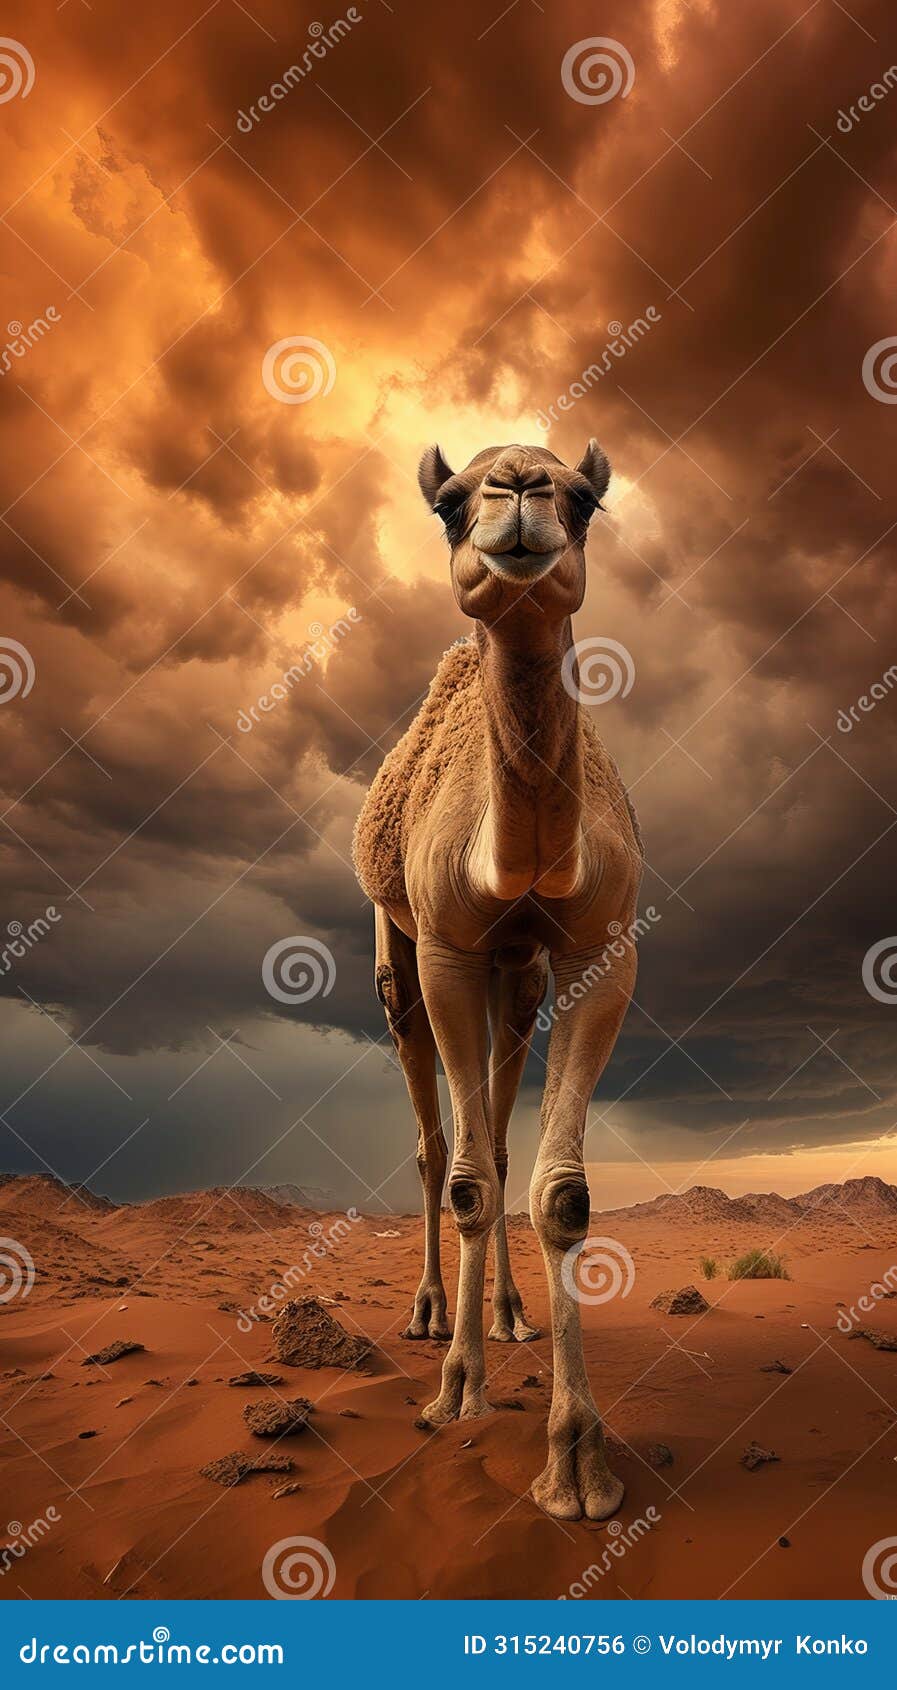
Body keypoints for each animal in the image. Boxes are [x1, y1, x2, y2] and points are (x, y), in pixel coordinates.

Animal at [352, 440, 642, 1520]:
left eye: (587, 498)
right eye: (445, 504)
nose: (518, 484)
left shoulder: (603, 947)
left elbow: (561, 1193)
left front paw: (578, 1462)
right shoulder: (445, 943)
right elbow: (469, 1178)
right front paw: (455, 1394)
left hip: (516, 979)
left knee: (503, 1130)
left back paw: (511, 1315)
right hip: (398, 953)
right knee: (439, 1141)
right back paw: (435, 1318)